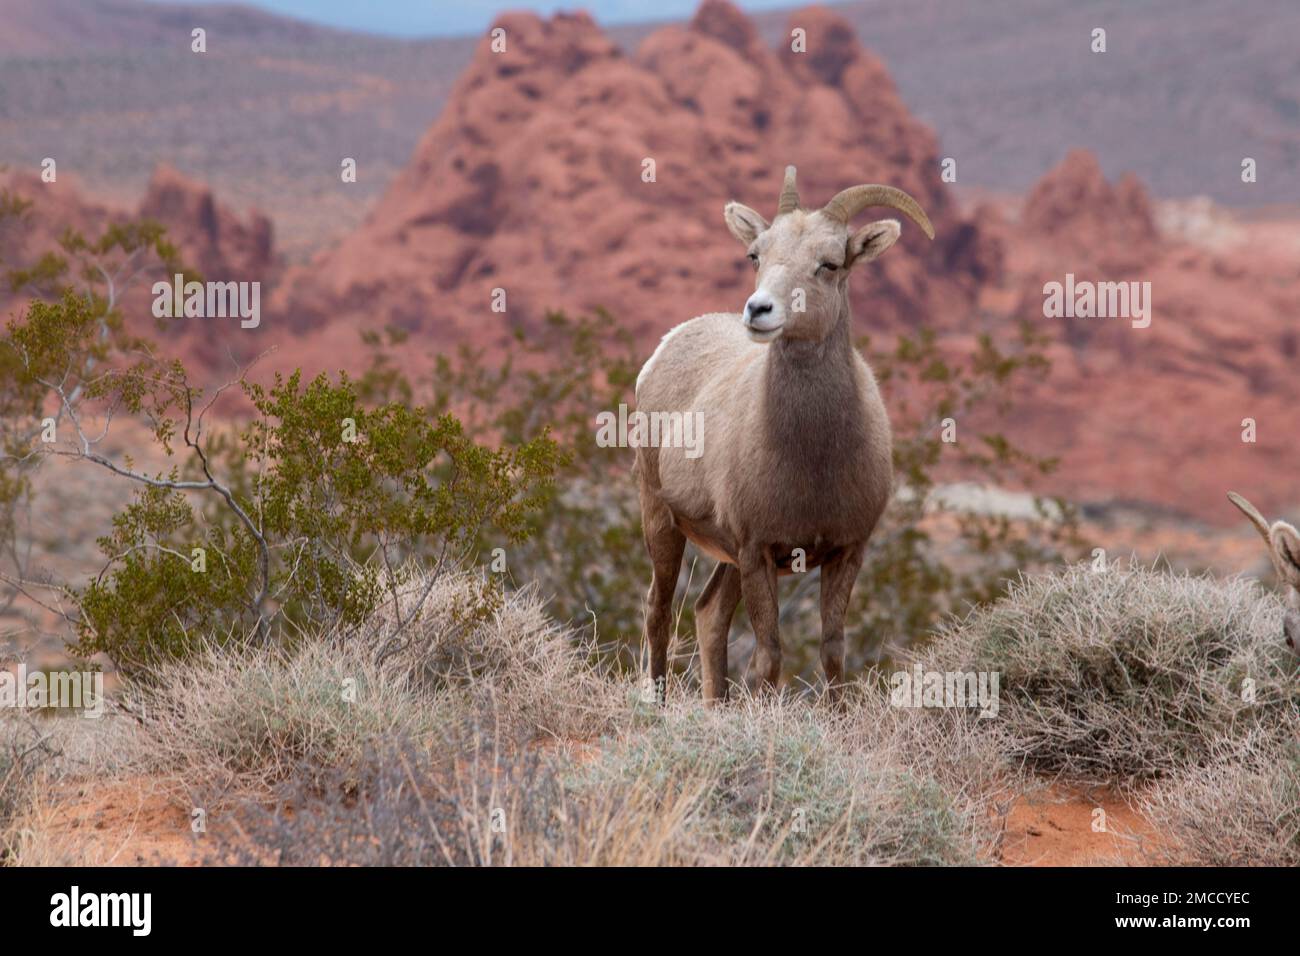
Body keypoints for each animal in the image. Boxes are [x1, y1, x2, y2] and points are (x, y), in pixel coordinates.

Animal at [634, 166, 934, 701]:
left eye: (830, 264)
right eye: (756, 254)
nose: (759, 310)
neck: (812, 460)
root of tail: (668, 345)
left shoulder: (845, 552)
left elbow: (832, 654)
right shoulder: (758, 552)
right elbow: (768, 658)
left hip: (726, 557)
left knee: (709, 614)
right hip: (661, 520)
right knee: (659, 612)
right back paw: (658, 704)